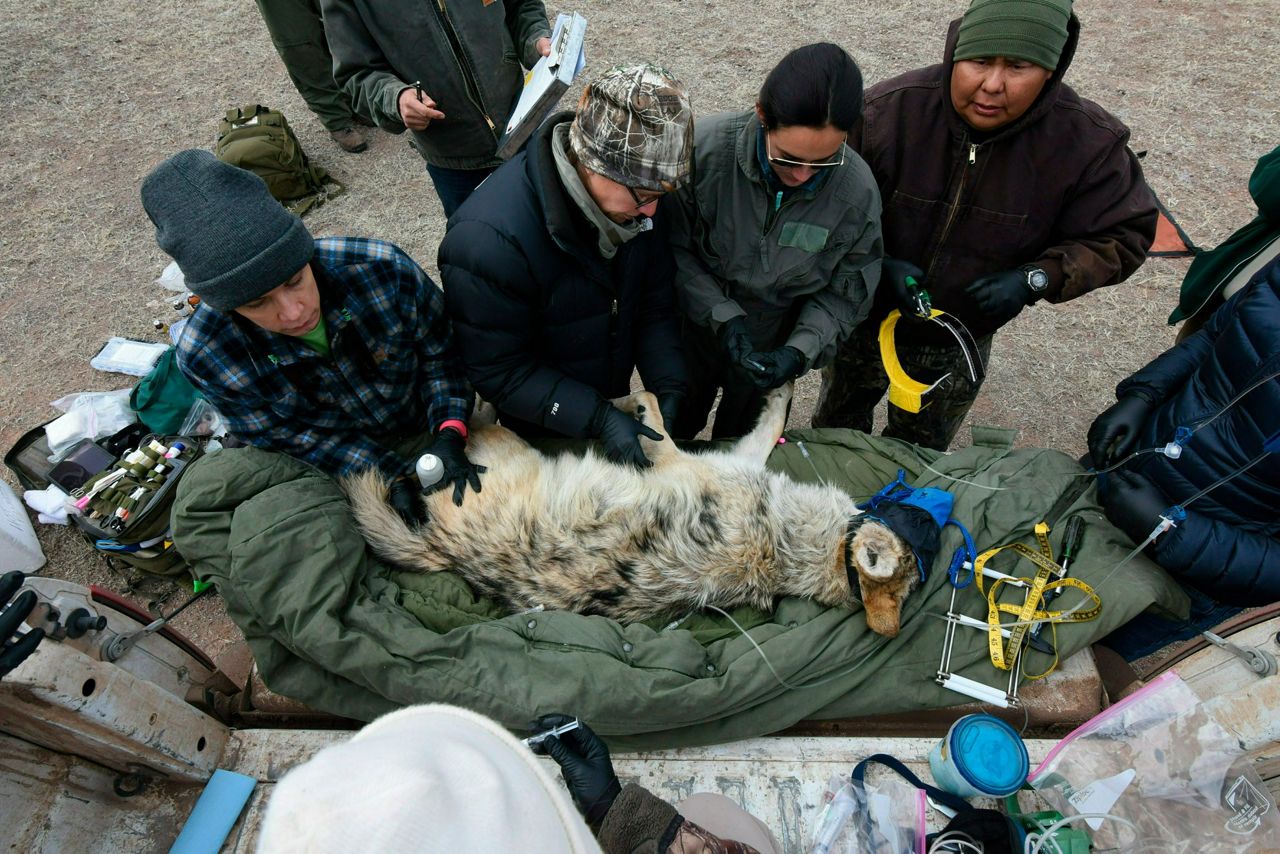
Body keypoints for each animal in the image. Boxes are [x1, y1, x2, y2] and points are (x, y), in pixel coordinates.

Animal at [346, 384, 920, 637]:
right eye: (910, 511)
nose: (915, 494)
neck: (784, 545)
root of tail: (443, 553)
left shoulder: (677, 458)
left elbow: (649, 401)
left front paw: (621, 406)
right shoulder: (733, 457)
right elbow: (768, 420)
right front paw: (781, 382)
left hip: (505, 449)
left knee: (473, 422)